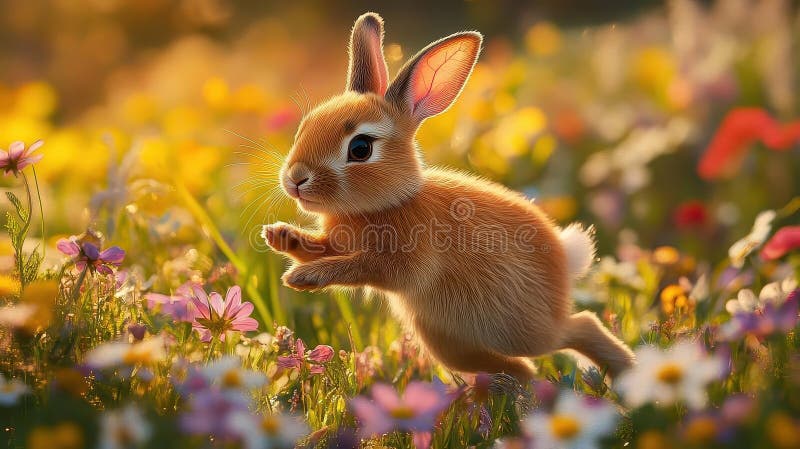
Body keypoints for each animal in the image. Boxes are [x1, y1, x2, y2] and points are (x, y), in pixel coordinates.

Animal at [262, 12, 635, 380]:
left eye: (360, 148)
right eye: (305, 126)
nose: (295, 178)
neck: (392, 201)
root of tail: (568, 260)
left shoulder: (403, 260)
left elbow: (360, 267)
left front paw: (302, 278)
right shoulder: (341, 242)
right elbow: (323, 247)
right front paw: (280, 237)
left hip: (523, 330)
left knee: (580, 327)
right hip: (449, 342)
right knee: (518, 370)